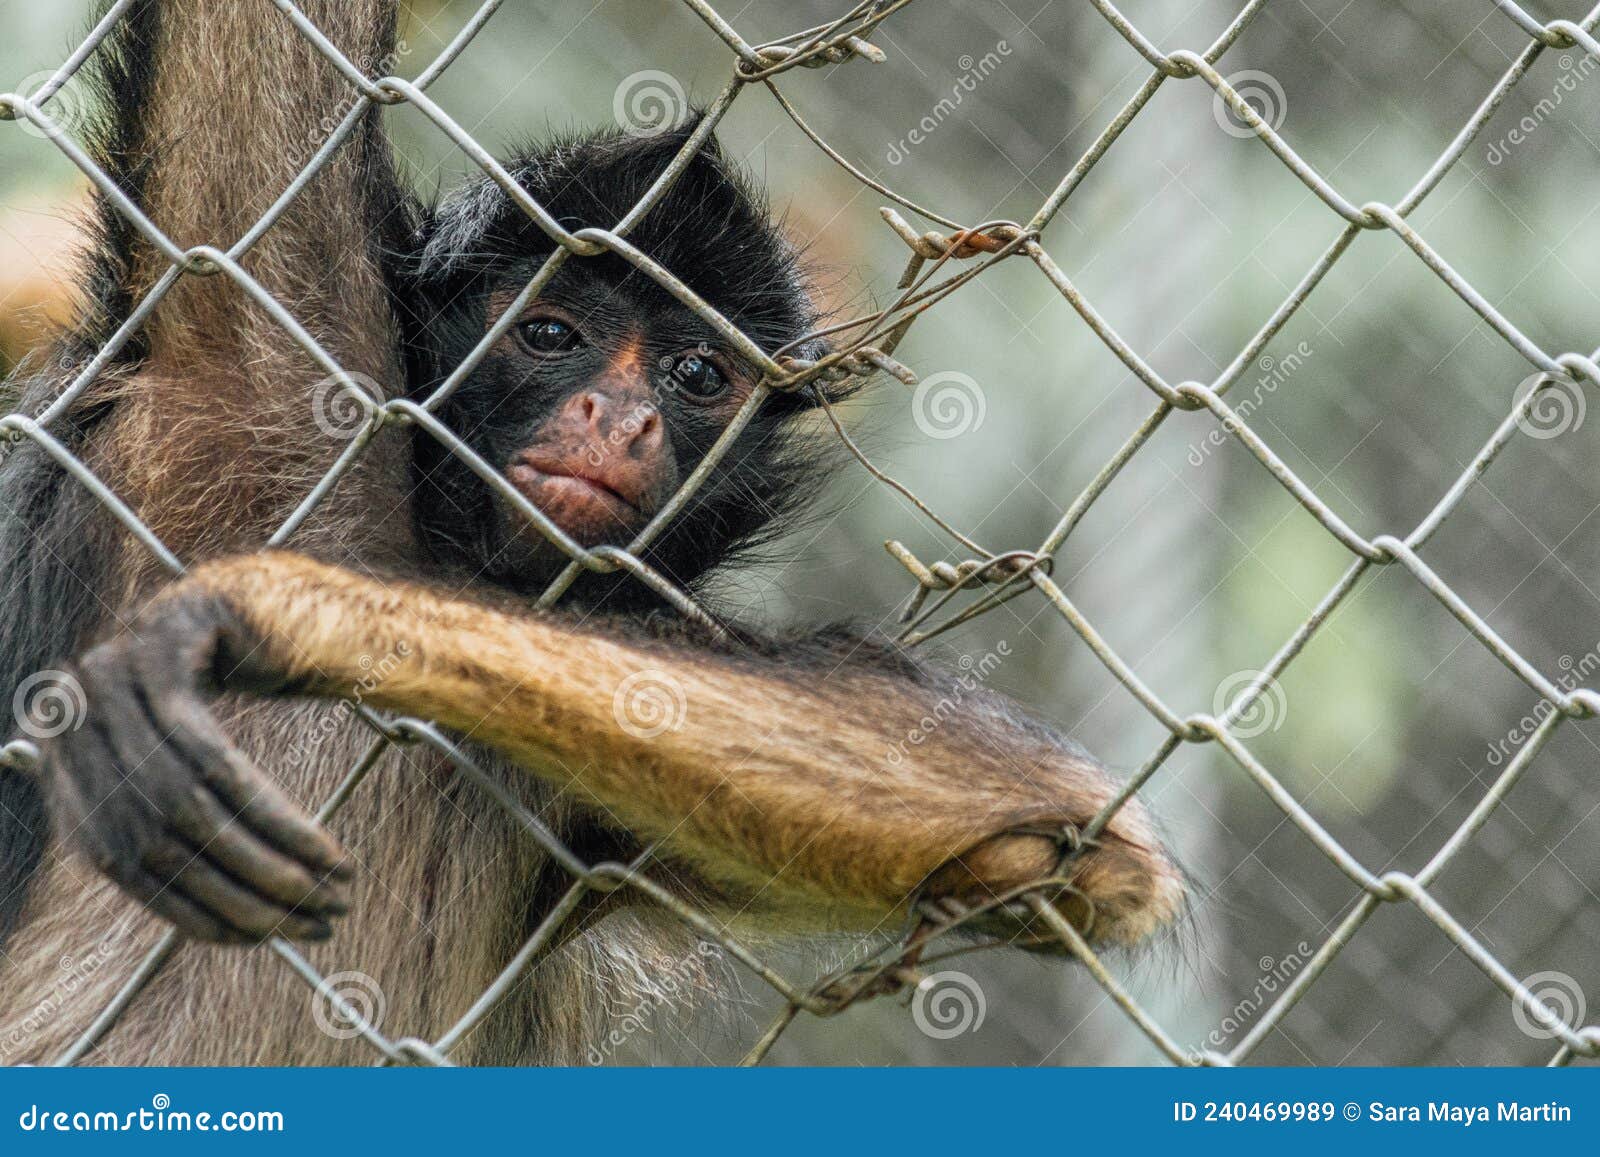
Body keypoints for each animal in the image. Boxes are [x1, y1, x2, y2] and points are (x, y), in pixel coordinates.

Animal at [0, 0, 1182, 1065]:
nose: (620, 416)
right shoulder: (251, 378)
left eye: (695, 373)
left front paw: (278, 608)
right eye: (551, 334)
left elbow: (1075, 838)